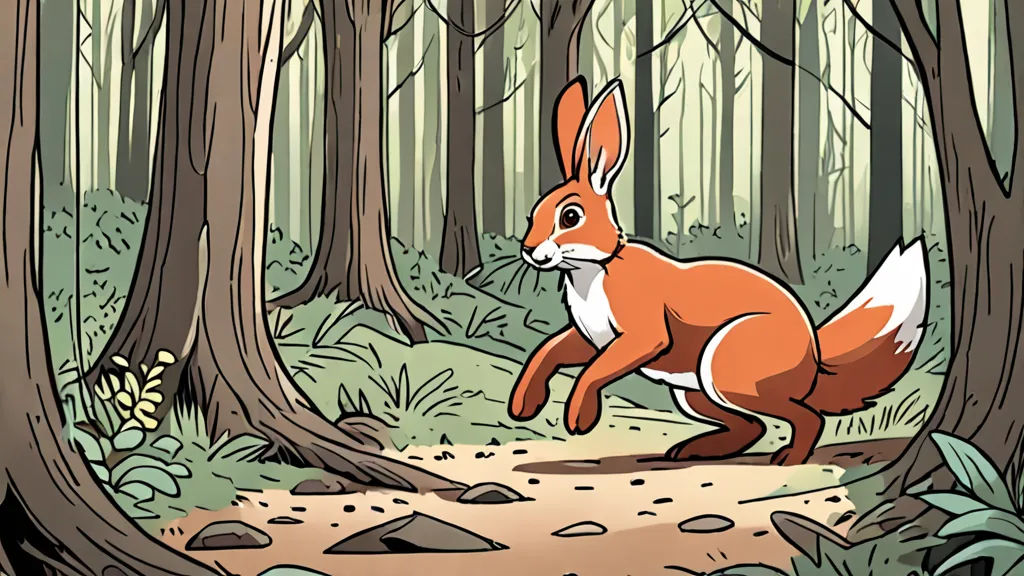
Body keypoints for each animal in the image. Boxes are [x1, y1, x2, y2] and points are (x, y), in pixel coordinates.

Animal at [507, 77, 929, 465]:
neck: (597, 269)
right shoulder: (589, 337)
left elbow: (595, 370)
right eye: (532, 214)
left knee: (806, 417)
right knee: (752, 426)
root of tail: (814, 359)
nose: (528, 251)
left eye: (570, 217)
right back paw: (690, 451)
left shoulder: (642, 336)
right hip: (695, 391)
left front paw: (578, 418)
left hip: (727, 369)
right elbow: (548, 351)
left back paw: (787, 459)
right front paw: (523, 405)